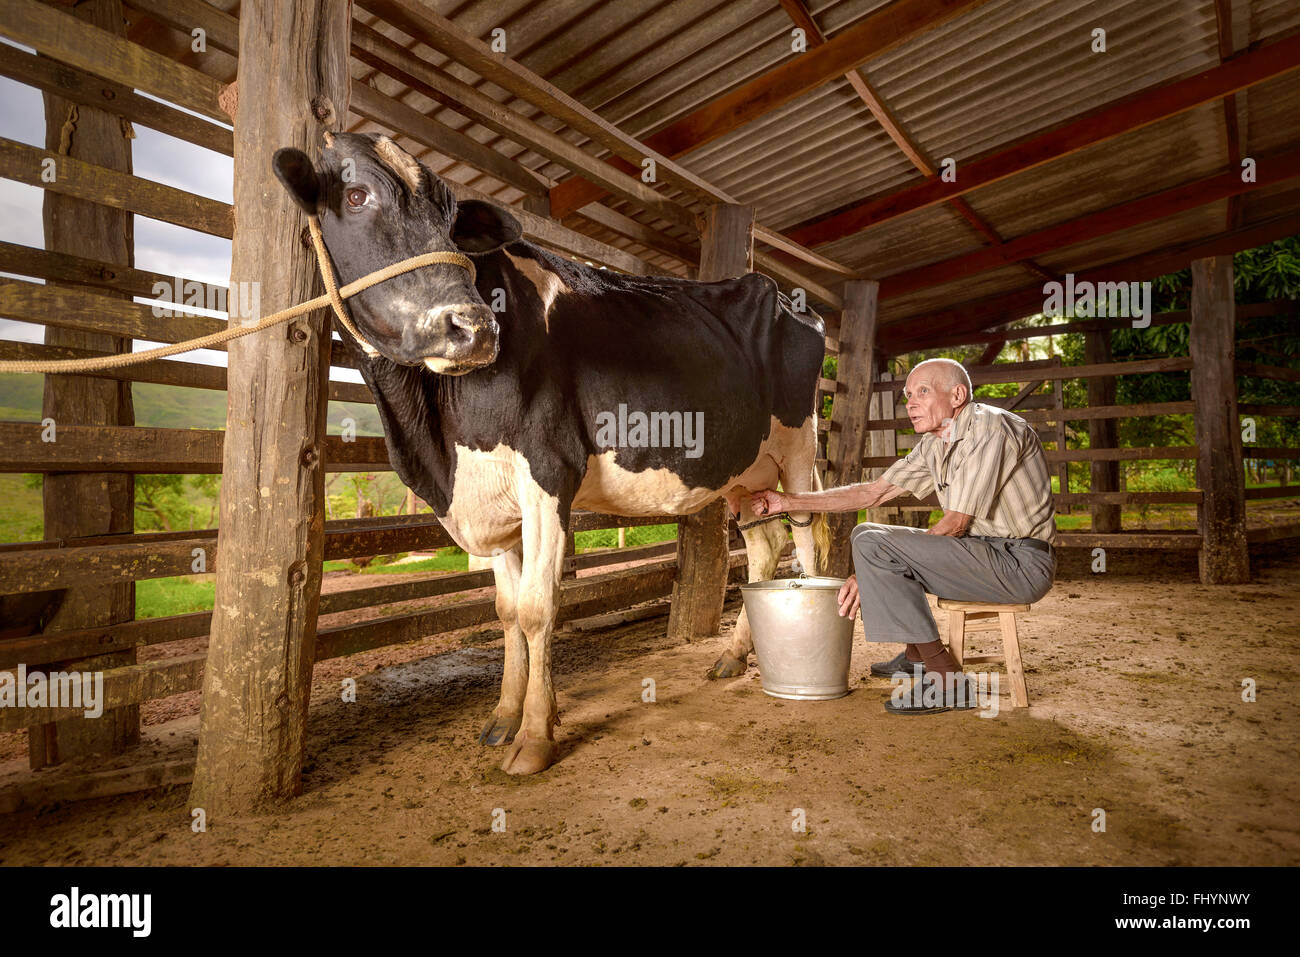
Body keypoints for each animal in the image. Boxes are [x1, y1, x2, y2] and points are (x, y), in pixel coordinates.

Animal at [273, 132, 829, 774]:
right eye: (356, 195)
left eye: (451, 218)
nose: (473, 327)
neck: (434, 446)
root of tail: (780, 292)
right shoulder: (493, 498)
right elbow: (507, 611)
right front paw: (504, 717)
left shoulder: (547, 471)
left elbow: (539, 608)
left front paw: (535, 736)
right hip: (743, 473)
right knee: (766, 547)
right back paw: (732, 657)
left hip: (798, 450)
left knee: (809, 541)